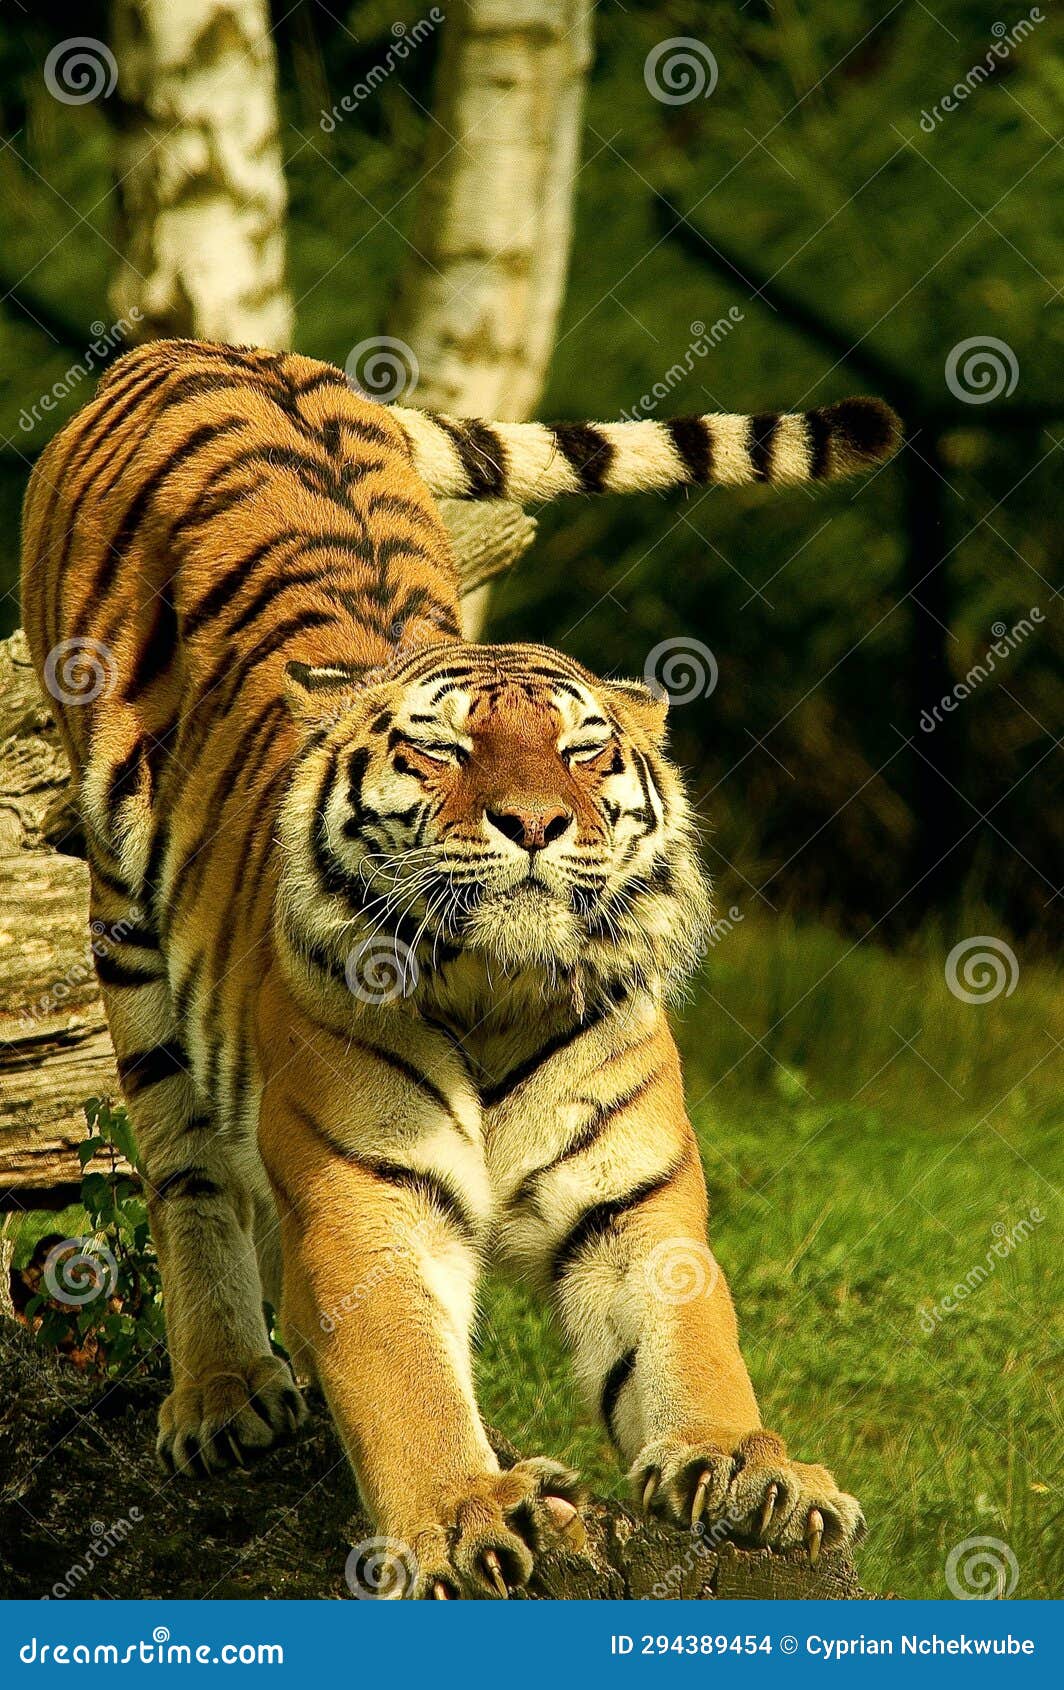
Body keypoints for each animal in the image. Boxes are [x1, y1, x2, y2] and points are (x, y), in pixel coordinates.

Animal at [21, 338, 900, 1599]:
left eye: (582, 750)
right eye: (442, 748)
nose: (533, 820)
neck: (495, 991)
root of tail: (196, 345)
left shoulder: (634, 1203)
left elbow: (692, 1350)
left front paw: (754, 1467)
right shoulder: (365, 1198)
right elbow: (404, 1380)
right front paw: (462, 1512)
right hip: (126, 932)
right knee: (186, 1172)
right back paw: (223, 1395)